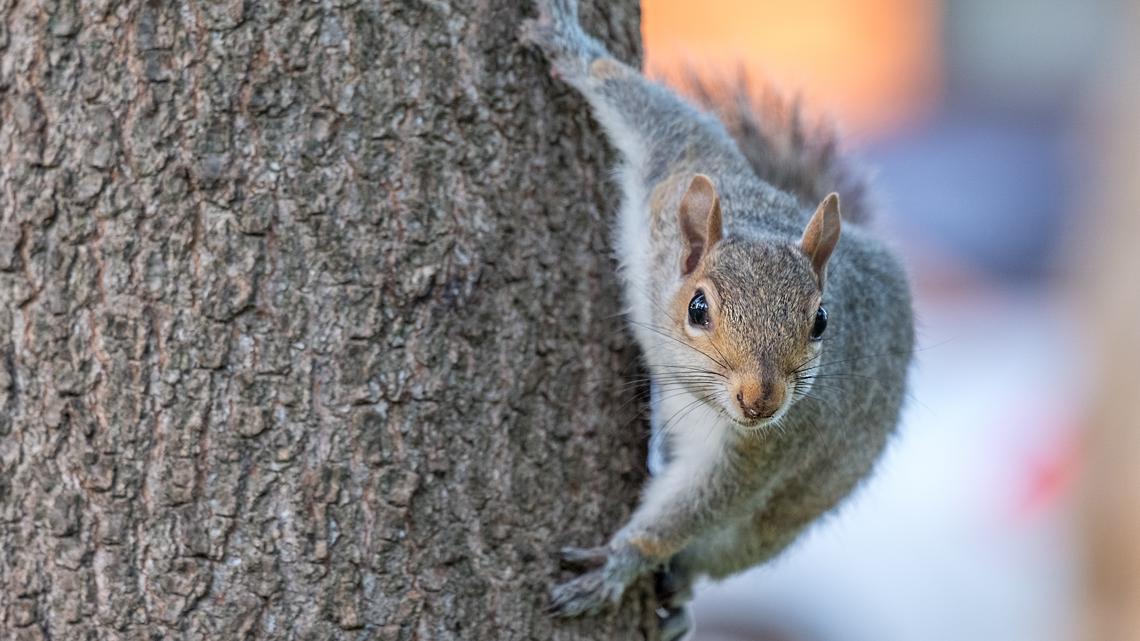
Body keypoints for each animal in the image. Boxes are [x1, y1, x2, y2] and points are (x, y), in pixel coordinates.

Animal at [522, 2, 915, 639]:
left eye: (821, 321)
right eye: (697, 308)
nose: (760, 400)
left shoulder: (771, 446)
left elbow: (701, 503)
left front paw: (621, 561)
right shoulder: (678, 170)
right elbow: (650, 108)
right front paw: (570, 47)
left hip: (770, 528)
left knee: (711, 553)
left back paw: (677, 592)